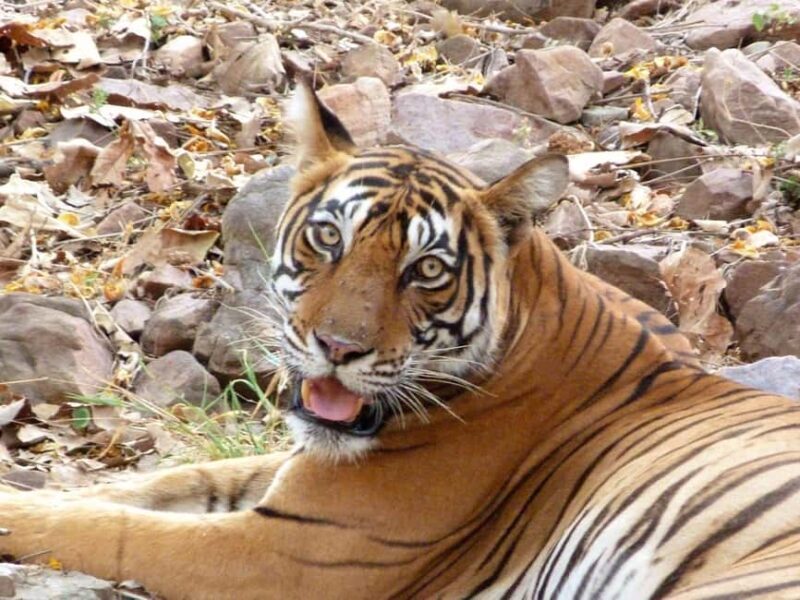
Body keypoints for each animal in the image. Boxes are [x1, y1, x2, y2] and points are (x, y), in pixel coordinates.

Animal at [1, 82, 800, 600]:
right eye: (330, 238)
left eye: (428, 270)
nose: (337, 348)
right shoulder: (292, 476)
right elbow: (162, 482)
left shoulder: (288, 550)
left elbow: (109, 530)